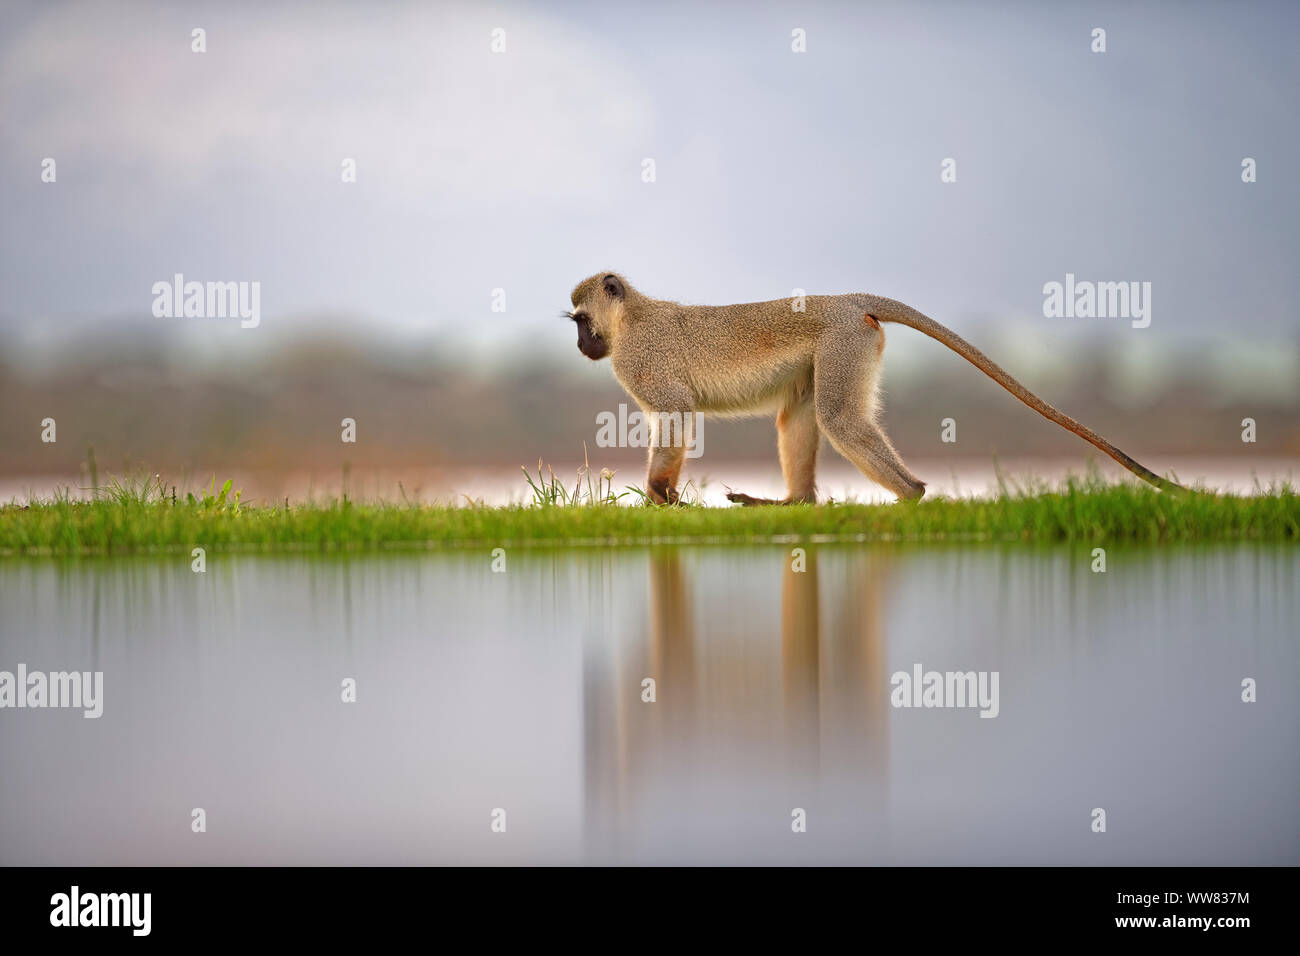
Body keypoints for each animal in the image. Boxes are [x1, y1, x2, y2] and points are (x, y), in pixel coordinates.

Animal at [566, 273, 1185, 505]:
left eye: (580, 321)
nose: (581, 346)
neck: (631, 319)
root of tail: (846, 300)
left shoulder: (640, 362)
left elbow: (676, 413)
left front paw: (658, 495)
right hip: (844, 347)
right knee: (802, 416)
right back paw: (794, 502)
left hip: (844, 342)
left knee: (840, 420)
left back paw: (910, 495)